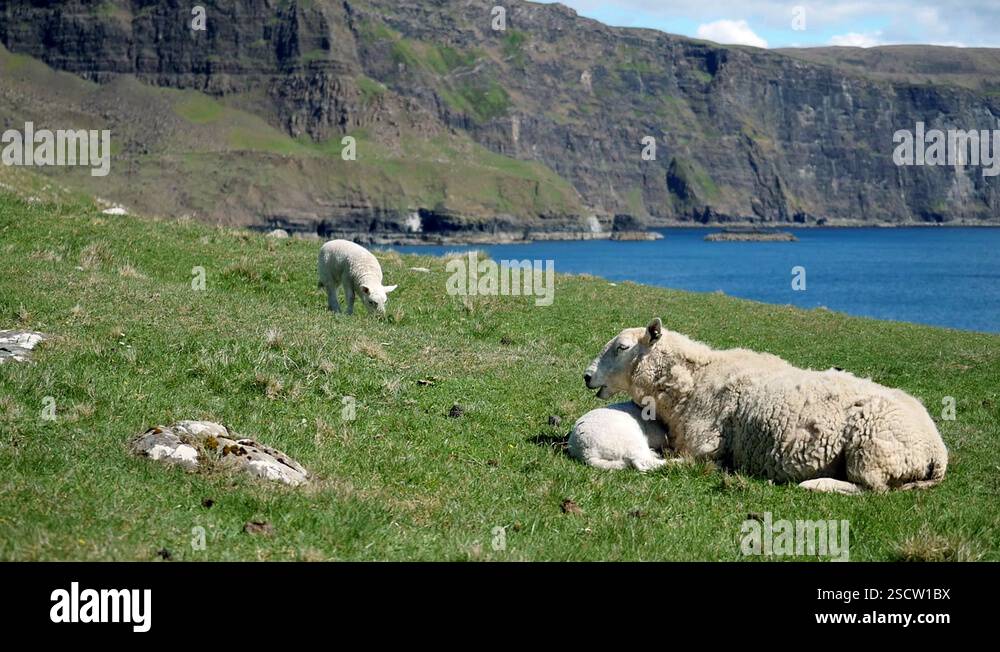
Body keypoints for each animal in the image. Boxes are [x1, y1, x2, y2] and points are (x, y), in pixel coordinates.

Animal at [583, 318, 948, 494]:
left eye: (622, 347)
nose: (587, 376)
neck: (695, 379)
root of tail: (937, 451)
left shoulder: (702, 446)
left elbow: (689, 460)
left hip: (872, 452)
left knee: (872, 489)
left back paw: (818, 485)